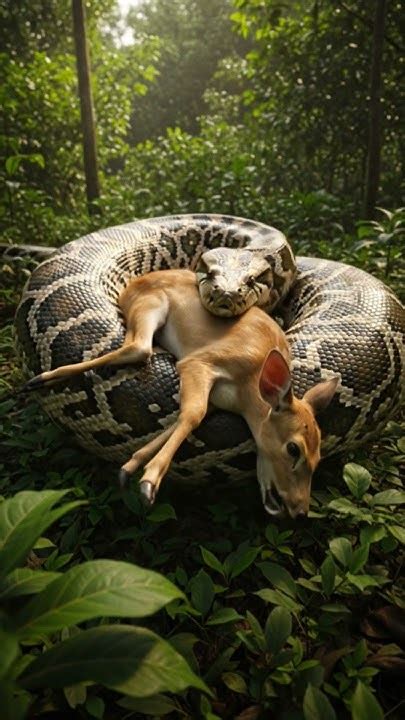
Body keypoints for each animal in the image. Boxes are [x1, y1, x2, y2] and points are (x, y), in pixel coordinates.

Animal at [25, 269, 338, 519]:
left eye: (318, 456)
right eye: (293, 448)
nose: (300, 510)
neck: (247, 390)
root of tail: (137, 280)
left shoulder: (214, 400)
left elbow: (180, 420)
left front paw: (131, 467)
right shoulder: (198, 363)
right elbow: (191, 414)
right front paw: (149, 482)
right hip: (150, 307)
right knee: (138, 348)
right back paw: (41, 378)